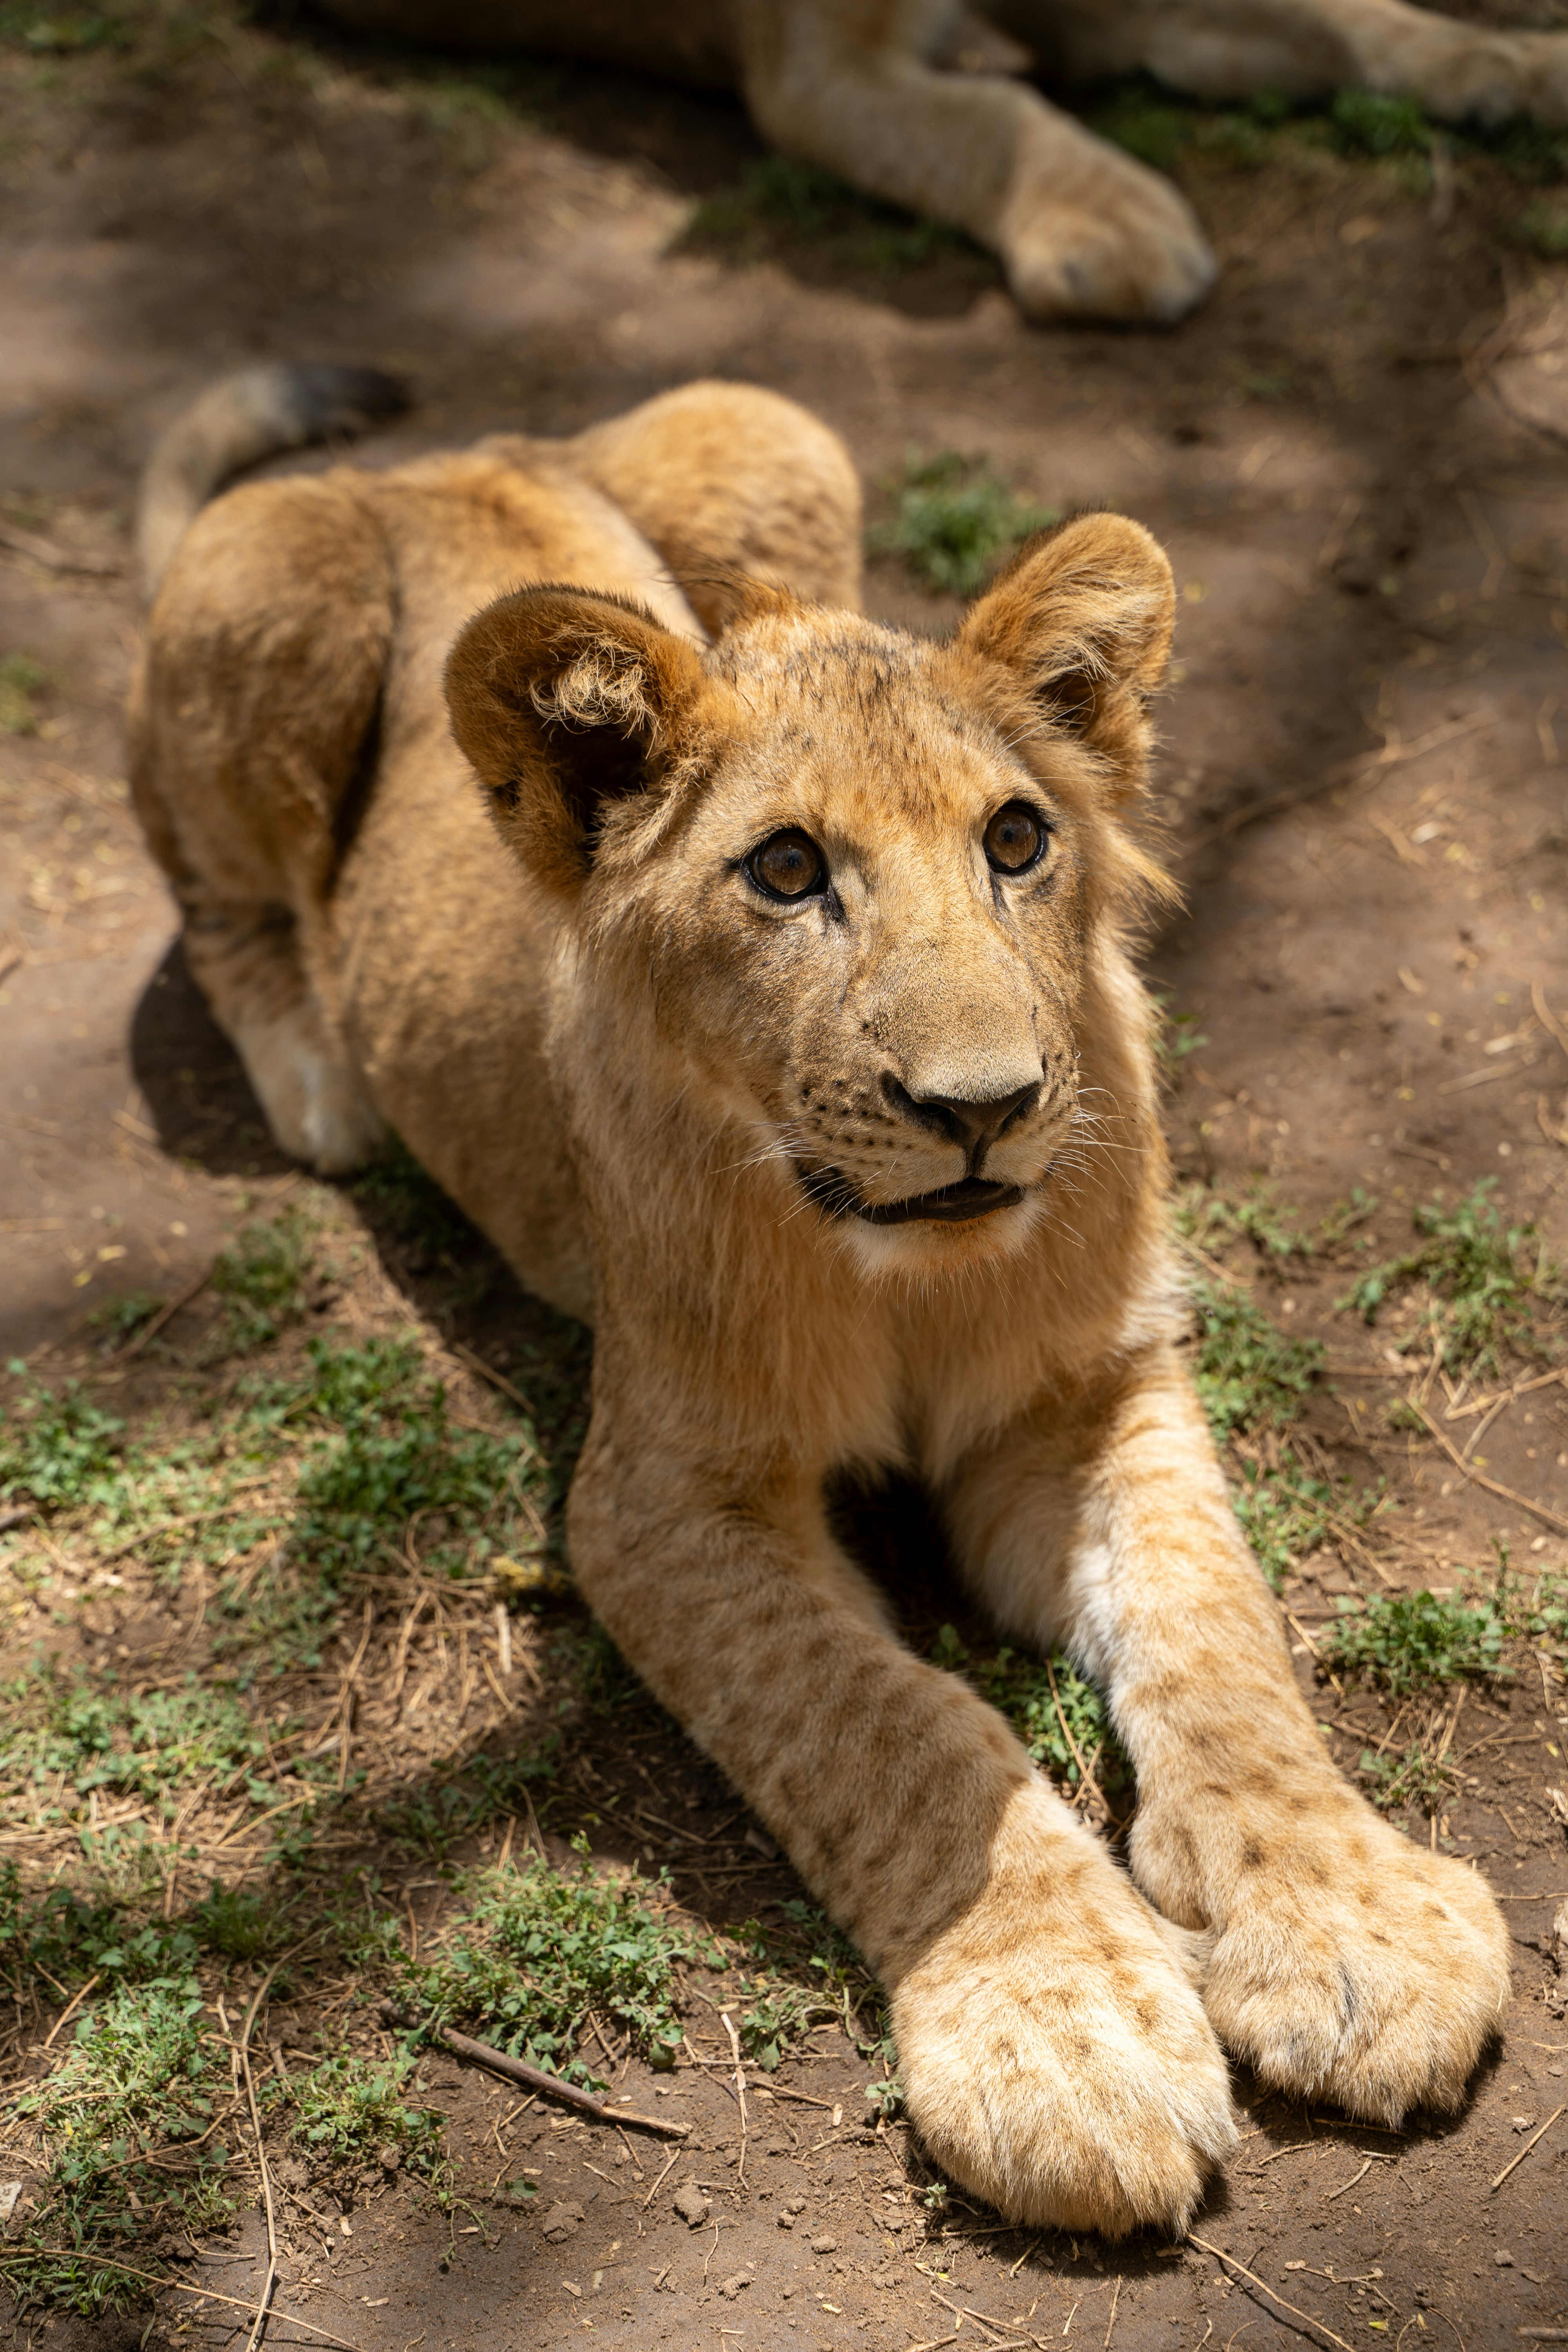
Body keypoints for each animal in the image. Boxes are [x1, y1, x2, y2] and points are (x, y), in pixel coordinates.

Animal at [129, 364, 1509, 2236]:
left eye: (1016, 841)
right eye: (786, 874)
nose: (984, 1106)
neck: (906, 1276)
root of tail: (432, 459)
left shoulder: (1082, 1394)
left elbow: (1219, 1627)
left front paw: (1352, 1923)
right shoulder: (656, 1502)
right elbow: (895, 1721)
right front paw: (1060, 2026)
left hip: (766, 428)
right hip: (270, 589)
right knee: (213, 885)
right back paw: (316, 1076)